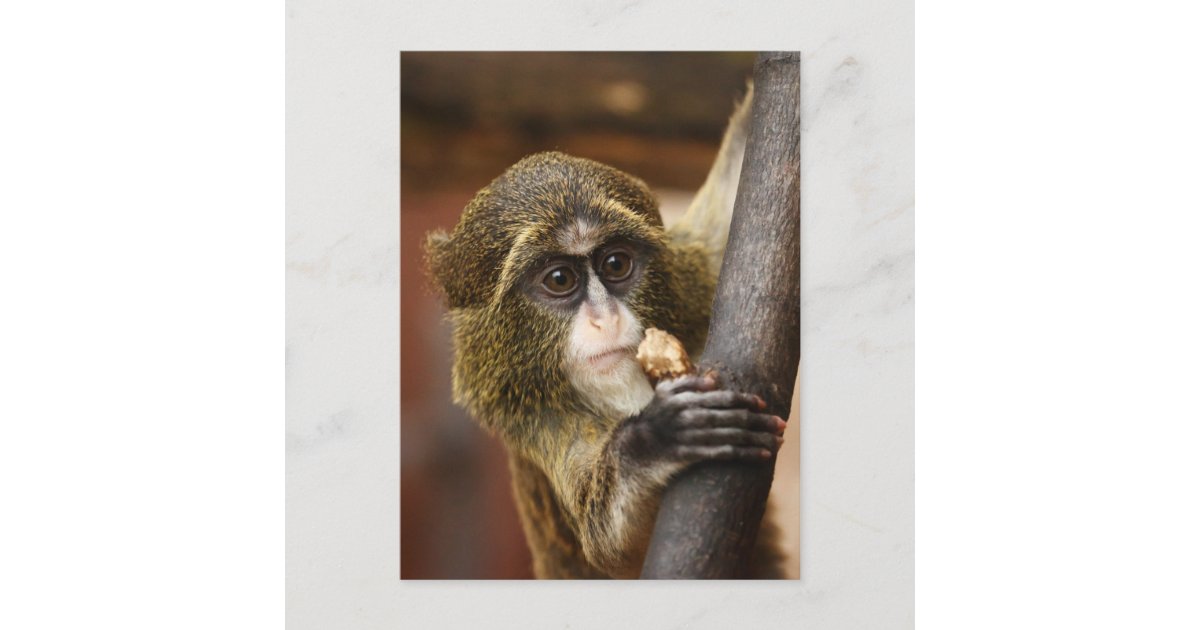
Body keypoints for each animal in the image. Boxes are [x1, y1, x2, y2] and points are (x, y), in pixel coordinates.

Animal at [424, 87, 788, 579]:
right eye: (560, 279)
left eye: (615, 264)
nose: (605, 318)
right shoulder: (534, 418)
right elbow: (613, 549)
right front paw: (656, 440)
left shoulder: (693, 278)